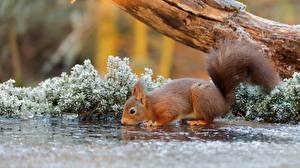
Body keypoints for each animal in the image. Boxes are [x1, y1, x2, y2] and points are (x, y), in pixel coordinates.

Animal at [120, 39, 282, 126]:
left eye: (132, 111)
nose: (122, 122)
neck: (151, 105)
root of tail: (223, 104)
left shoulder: (168, 107)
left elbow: (168, 117)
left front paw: (154, 123)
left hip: (201, 98)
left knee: (209, 119)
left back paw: (199, 122)